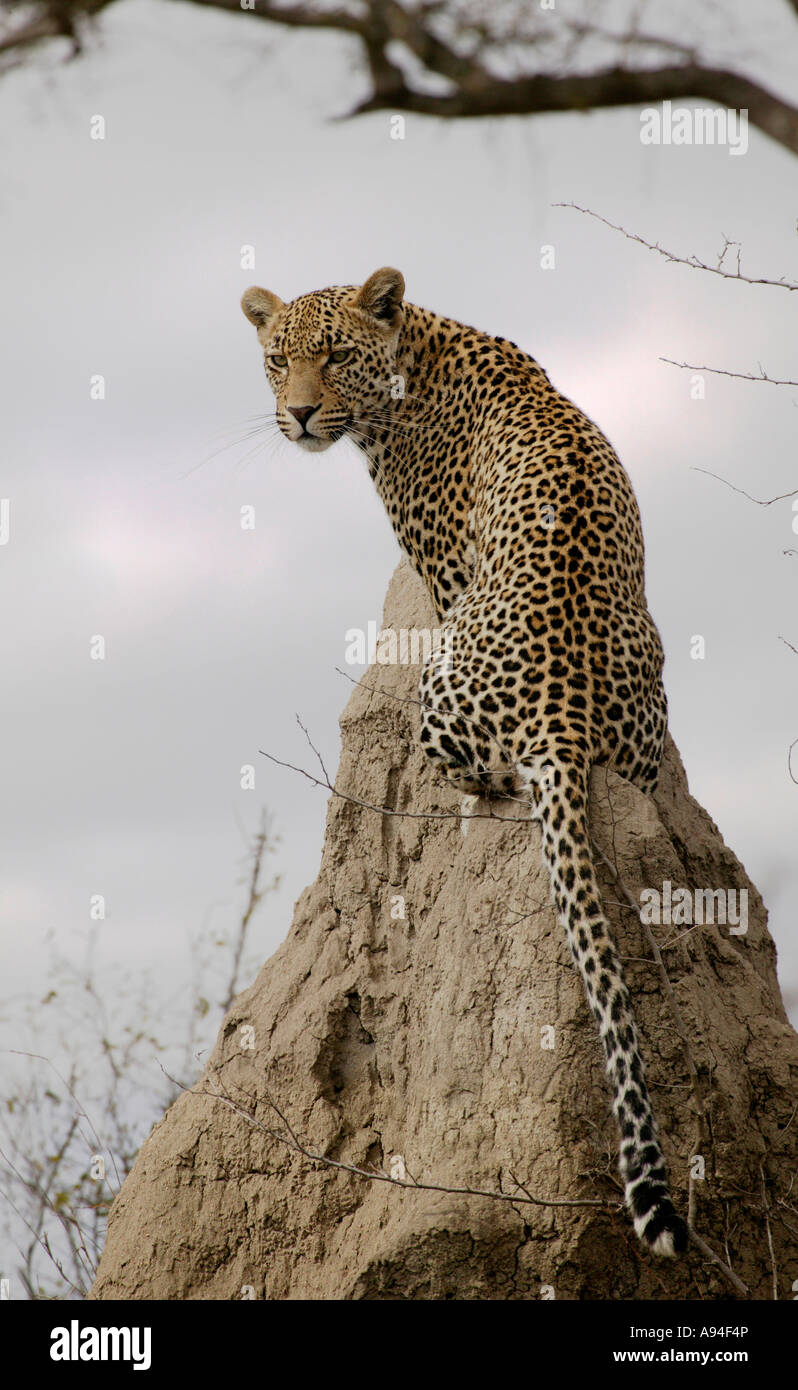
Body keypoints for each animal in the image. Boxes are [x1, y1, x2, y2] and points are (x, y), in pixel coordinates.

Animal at [241, 267, 688, 1258]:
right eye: (278, 358)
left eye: (333, 354)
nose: (297, 414)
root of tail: (563, 720)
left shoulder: (441, 571)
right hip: (646, 711)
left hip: (437, 689)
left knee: (481, 778)